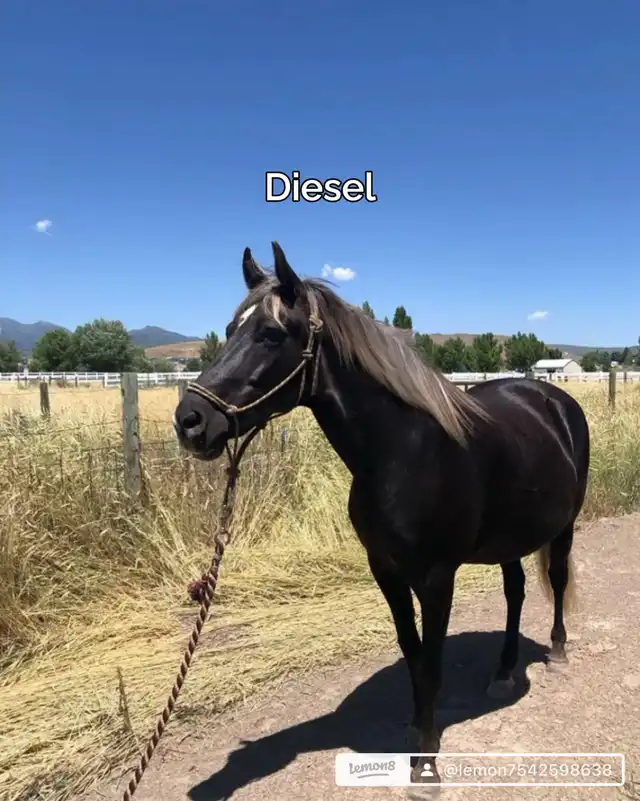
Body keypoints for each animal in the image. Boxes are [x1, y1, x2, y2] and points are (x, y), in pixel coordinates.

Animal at [173, 241, 590, 783]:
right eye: (227, 331)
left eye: (269, 334)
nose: (190, 422)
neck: (399, 452)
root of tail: (552, 397)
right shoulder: (386, 572)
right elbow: (411, 651)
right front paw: (415, 727)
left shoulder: (436, 578)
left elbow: (431, 659)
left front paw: (427, 759)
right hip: (508, 539)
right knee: (515, 591)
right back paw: (502, 672)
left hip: (565, 526)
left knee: (557, 580)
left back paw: (558, 651)